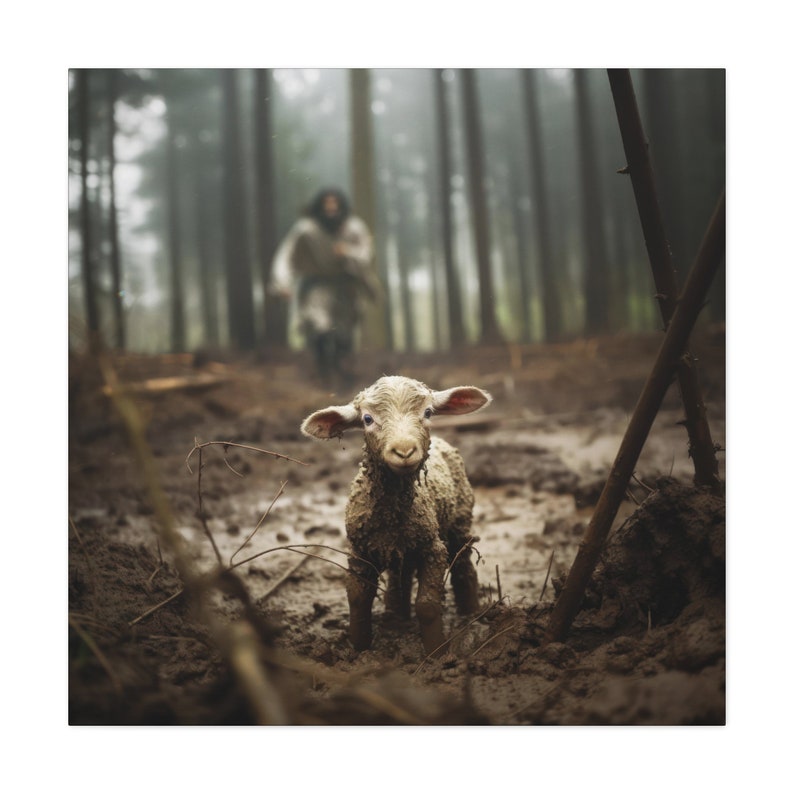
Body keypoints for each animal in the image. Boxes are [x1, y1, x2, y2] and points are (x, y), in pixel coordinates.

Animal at [301, 375, 492, 656]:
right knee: (400, 574)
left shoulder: (432, 548)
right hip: (401, 546)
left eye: (428, 412)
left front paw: (436, 653)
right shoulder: (359, 551)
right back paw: (396, 615)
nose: (404, 451)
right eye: (367, 419)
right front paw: (359, 648)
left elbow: (427, 605)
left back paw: (471, 614)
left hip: (459, 520)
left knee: (463, 564)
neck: (392, 512)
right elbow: (357, 599)